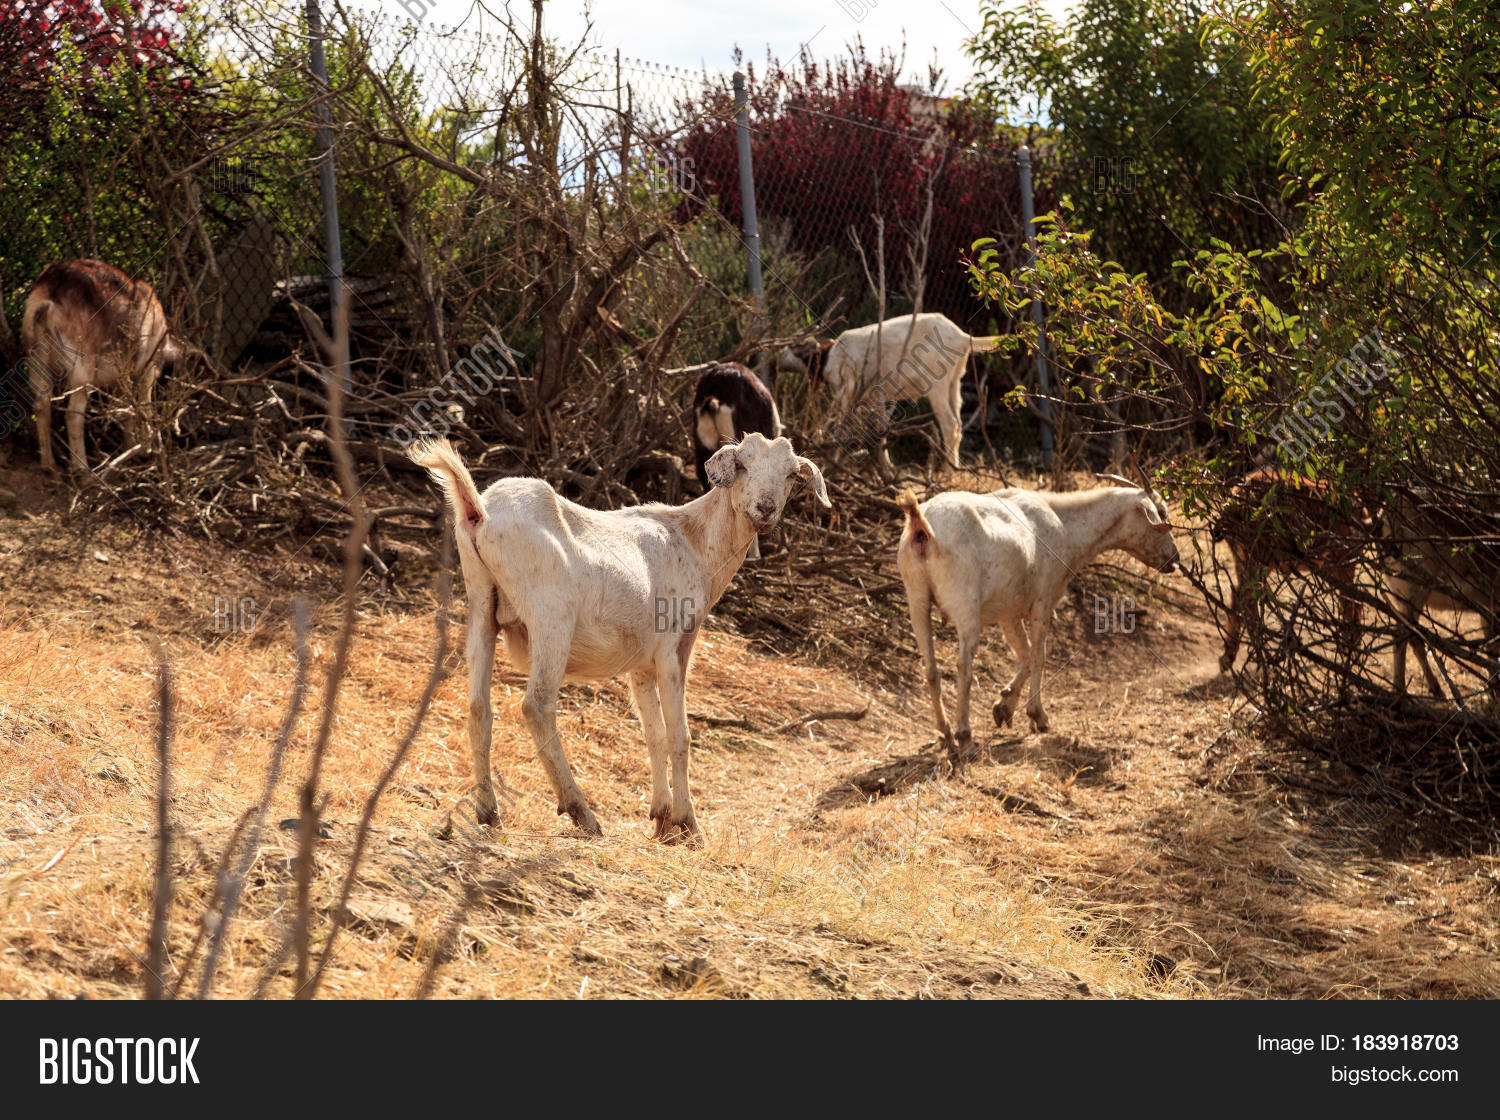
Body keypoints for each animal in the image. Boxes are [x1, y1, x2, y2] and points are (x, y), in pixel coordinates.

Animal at [20, 259, 181, 474]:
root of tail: (47, 299)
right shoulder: (145, 368)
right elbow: (142, 407)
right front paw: (146, 449)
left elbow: (124, 409)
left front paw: (131, 446)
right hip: (82, 366)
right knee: (73, 414)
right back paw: (82, 469)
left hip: (37, 359)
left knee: (41, 404)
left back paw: (50, 466)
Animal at [411, 432, 831, 841]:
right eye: (742, 464)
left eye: (792, 474)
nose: (765, 508)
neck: (694, 541)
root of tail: (479, 510)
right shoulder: (673, 645)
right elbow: (679, 735)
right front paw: (688, 825)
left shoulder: (641, 663)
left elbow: (653, 733)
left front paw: (662, 819)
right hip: (551, 616)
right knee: (537, 706)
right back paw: (582, 813)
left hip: (481, 603)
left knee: (479, 708)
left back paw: (489, 812)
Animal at [788, 313, 1000, 473]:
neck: (830, 356)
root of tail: (961, 337)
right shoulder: (875, 397)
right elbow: (880, 428)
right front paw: (886, 467)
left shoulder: (847, 390)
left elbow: (843, 425)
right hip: (954, 385)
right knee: (959, 424)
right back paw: (953, 469)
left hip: (937, 386)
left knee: (949, 424)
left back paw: (948, 473)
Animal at [897, 476, 1179, 750]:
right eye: (1161, 512)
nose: (1174, 559)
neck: (1065, 524)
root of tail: (922, 527)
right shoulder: (1043, 601)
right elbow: (1039, 656)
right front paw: (1037, 716)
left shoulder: (1008, 613)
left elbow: (1025, 655)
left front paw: (1004, 707)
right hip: (965, 605)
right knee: (964, 666)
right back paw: (964, 736)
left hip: (916, 599)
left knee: (931, 669)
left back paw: (945, 733)